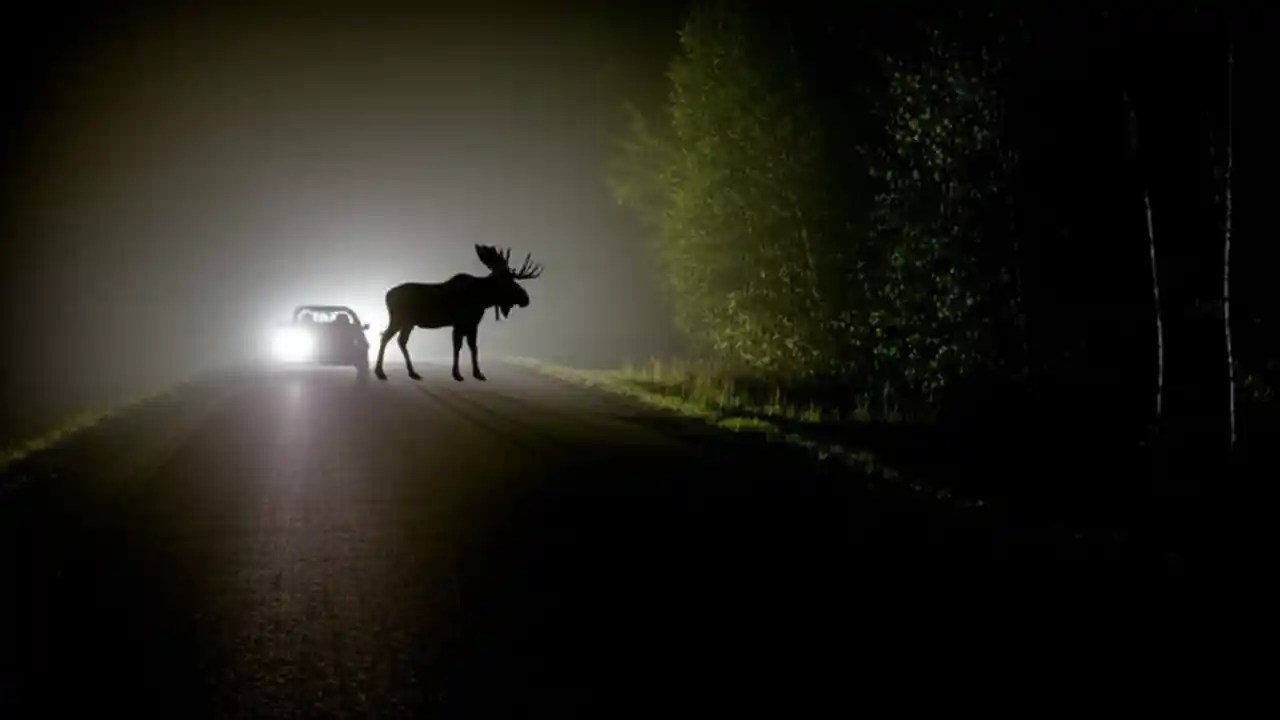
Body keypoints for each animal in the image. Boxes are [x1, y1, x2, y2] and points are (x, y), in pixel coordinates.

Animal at [374, 245, 543, 382]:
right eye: (509, 283)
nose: (526, 299)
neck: (483, 299)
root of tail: (387, 295)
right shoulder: (460, 323)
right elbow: (458, 347)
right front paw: (457, 374)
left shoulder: (472, 324)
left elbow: (473, 347)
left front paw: (477, 373)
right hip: (399, 319)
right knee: (386, 337)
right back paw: (380, 372)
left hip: (408, 323)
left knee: (400, 341)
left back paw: (412, 372)